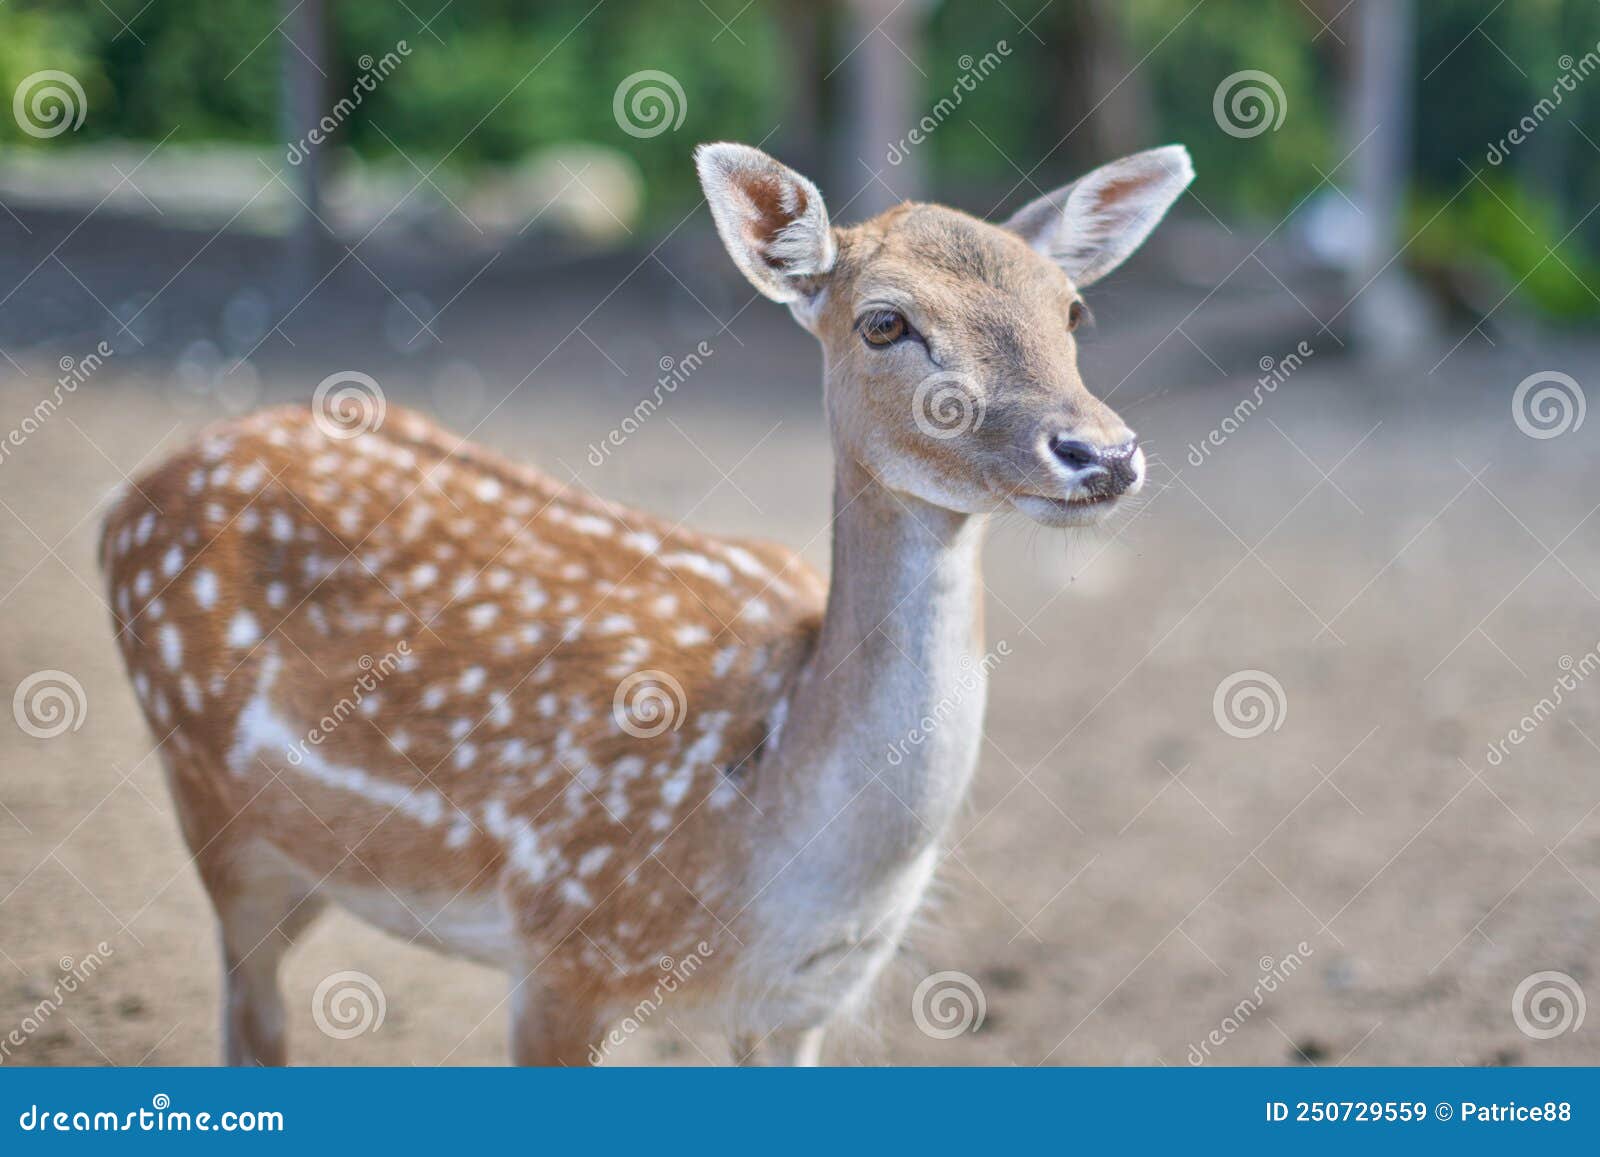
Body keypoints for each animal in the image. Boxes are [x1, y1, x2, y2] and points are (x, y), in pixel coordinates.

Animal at [100, 140, 1192, 1066]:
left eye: (1073, 311)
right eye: (885, 321)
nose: (1101, 452)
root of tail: (128, 496)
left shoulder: (801, 1004)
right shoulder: (560, 943)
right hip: (211, 802)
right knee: (252, 1019)